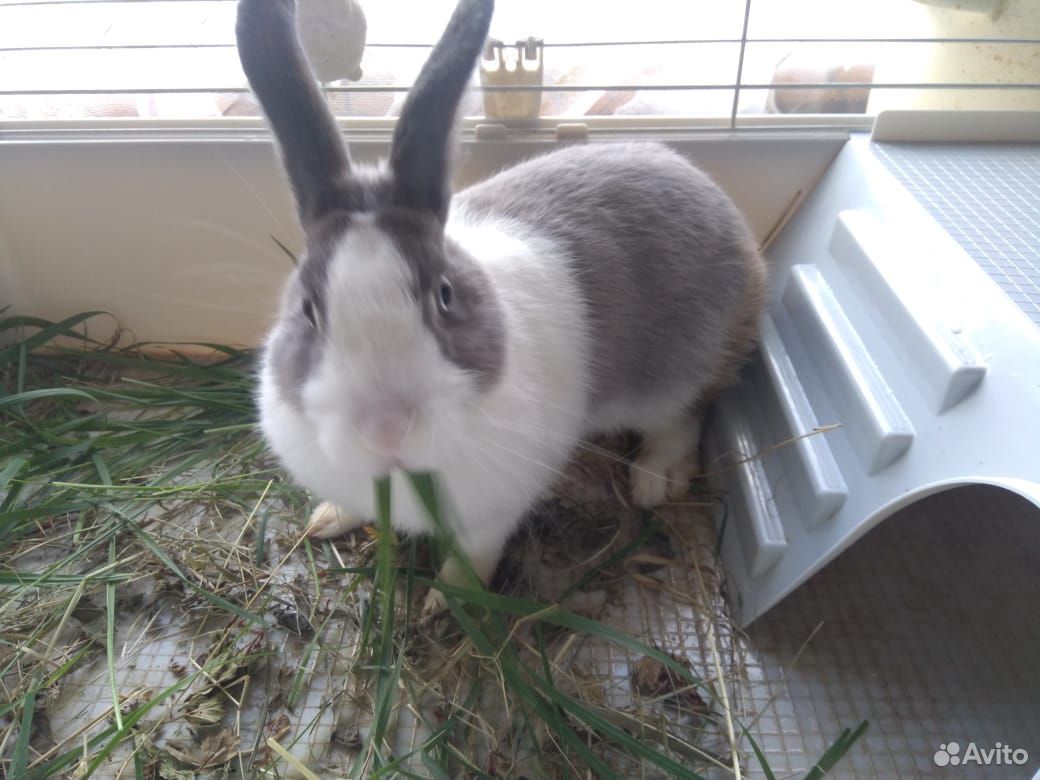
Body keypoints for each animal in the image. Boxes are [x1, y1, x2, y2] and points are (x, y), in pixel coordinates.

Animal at [236, 0, 766, 618]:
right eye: (308, 310)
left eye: (444, 296)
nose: (386, 429)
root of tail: (708, 190)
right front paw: (327, 519)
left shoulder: (495, 508)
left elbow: (475, 554)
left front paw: (446, 603)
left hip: (677, 372)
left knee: (686, 417)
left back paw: (654, 481)